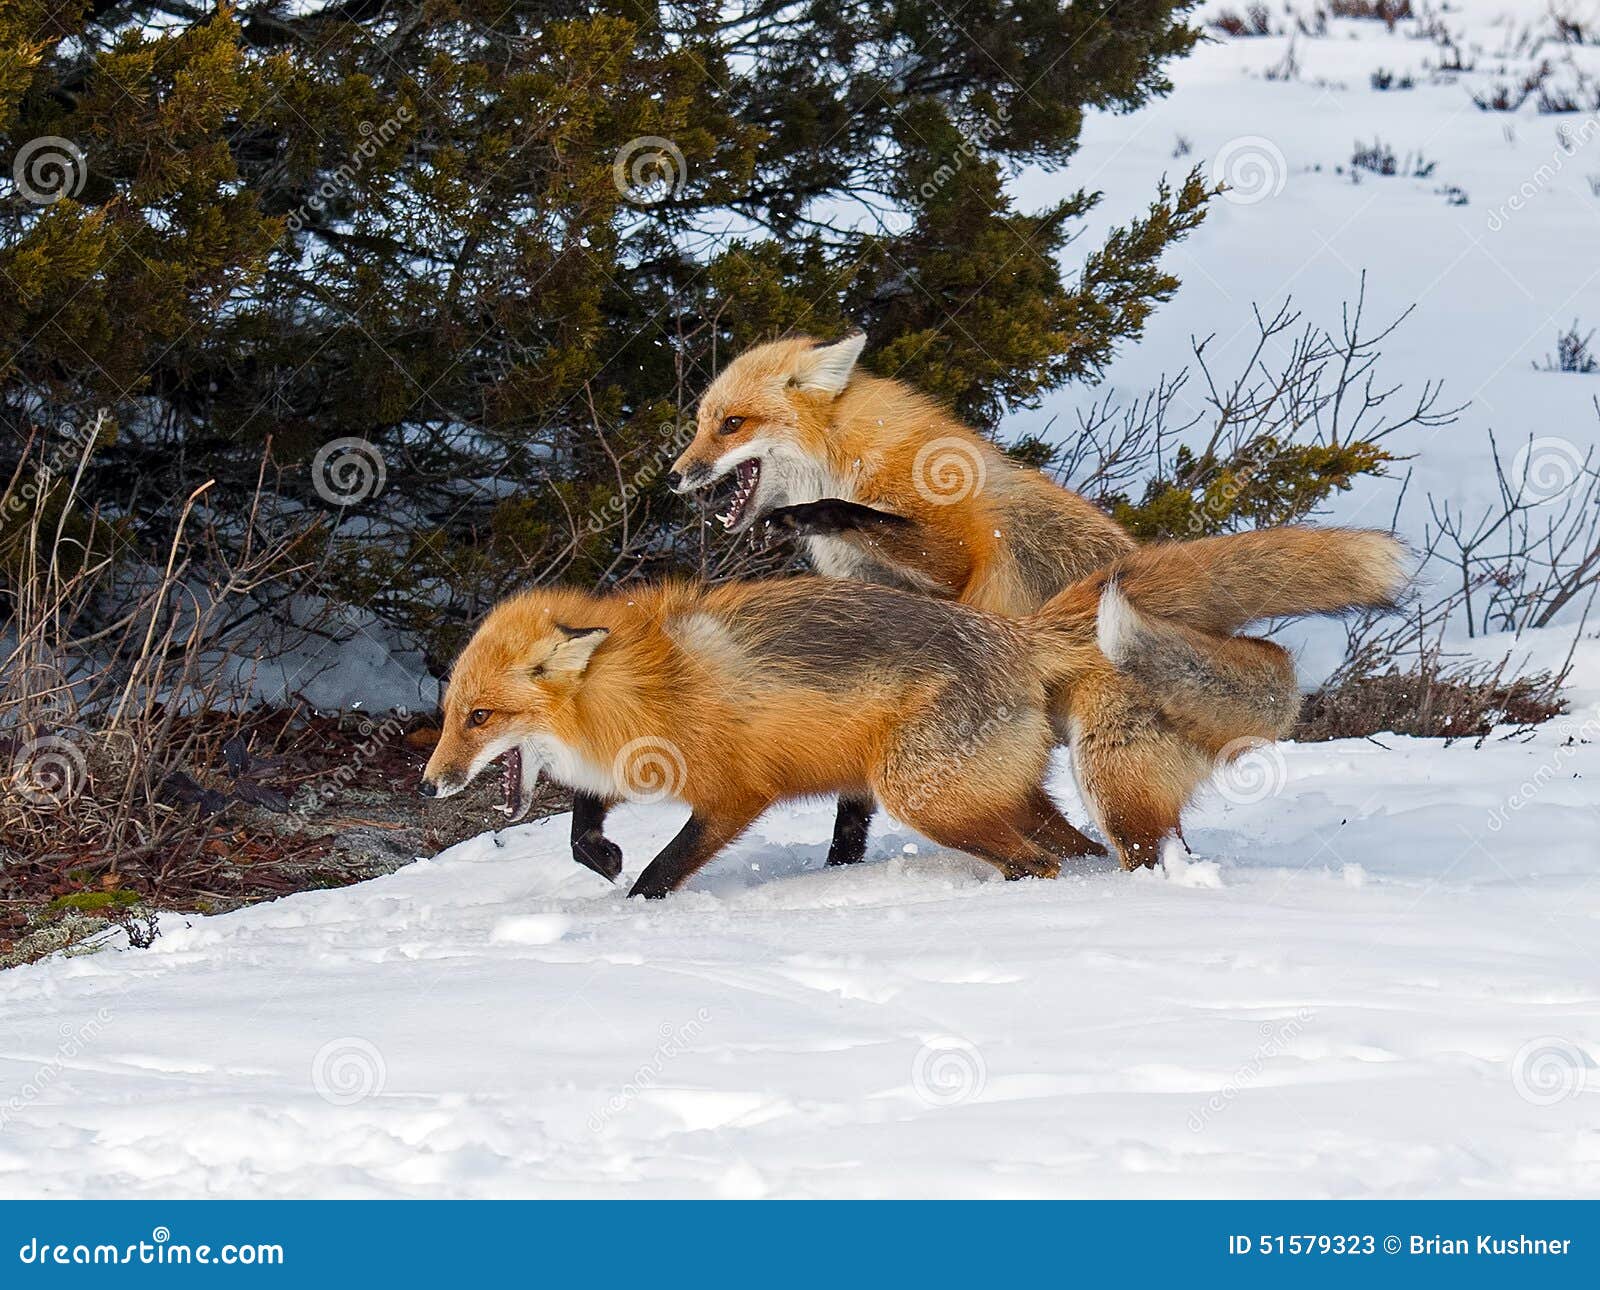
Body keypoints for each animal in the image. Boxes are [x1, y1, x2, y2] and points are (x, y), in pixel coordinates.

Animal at [421, 528, 1406, 898]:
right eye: (451, 712)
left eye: (479, 718)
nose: (429, 786)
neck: (636, 687)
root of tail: (1012, 634)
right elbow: (583, 818)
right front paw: (599, 855)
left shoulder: (734, 792)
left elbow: (668, 865)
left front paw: (633, 901)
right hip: (1010, 791)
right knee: (1076, 849)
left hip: (925, 790)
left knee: (1052, 860)